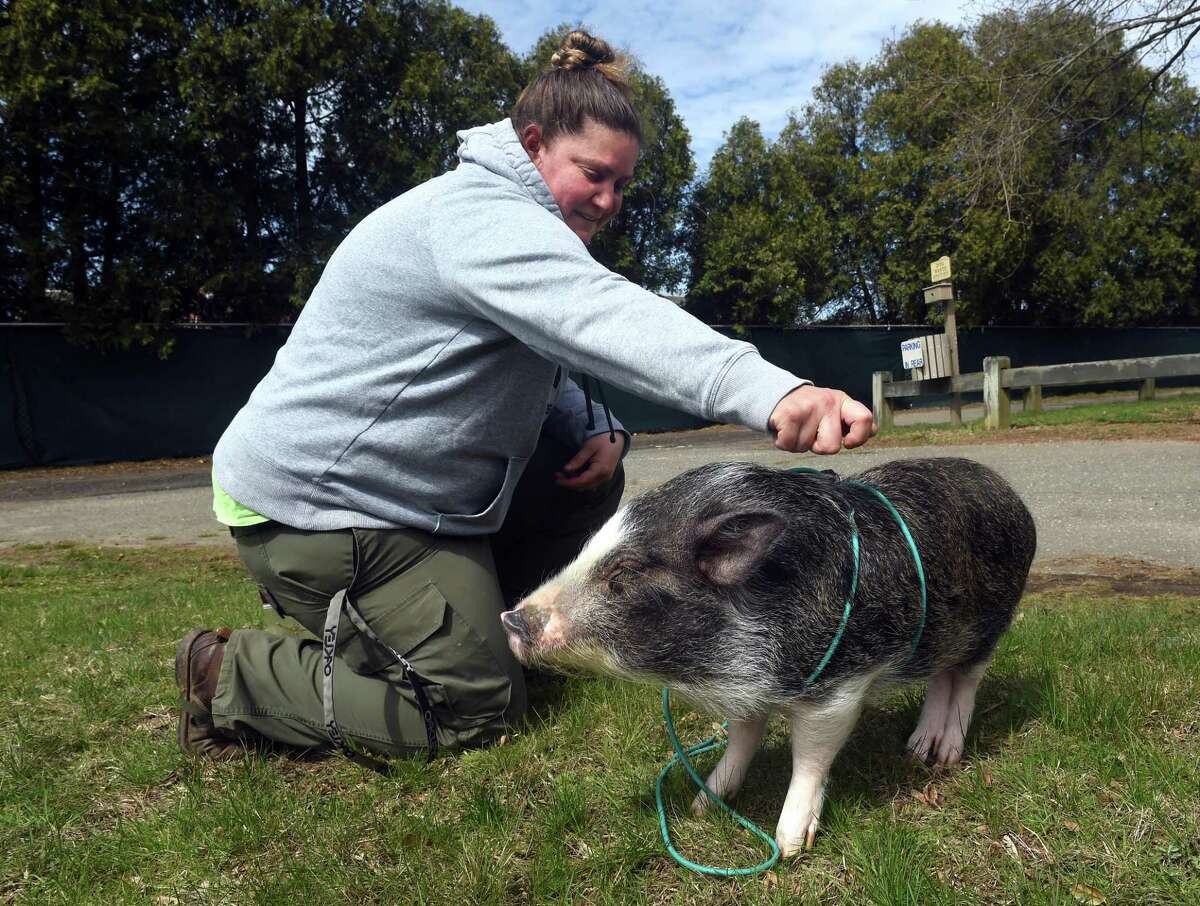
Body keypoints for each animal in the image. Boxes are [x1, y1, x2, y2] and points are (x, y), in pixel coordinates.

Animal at [499, 457, 1036, 856]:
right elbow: (742, 739)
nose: (511, 620)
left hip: (993, 622)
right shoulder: (746, 689)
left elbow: (810, 757)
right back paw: (917, 749)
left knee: (965, 682)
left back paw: (944, 757)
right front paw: (703, 805)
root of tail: (1010, 494)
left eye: (625, 573)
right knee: (940, 678)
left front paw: (788, 847)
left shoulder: (838, 688)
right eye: (587, 550)